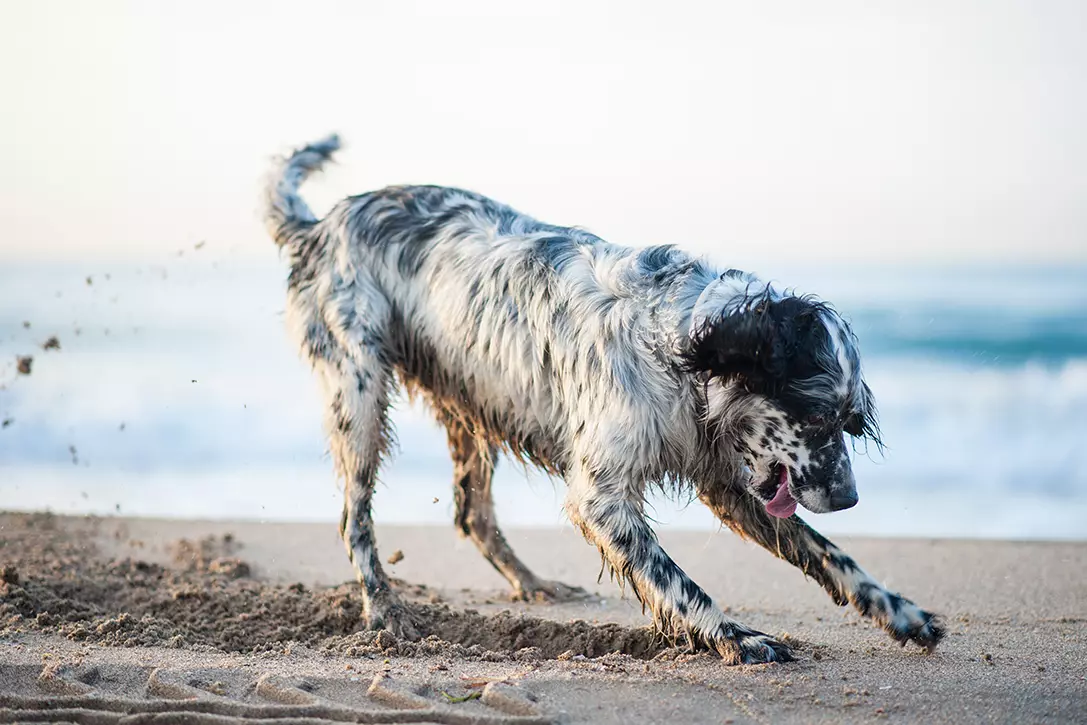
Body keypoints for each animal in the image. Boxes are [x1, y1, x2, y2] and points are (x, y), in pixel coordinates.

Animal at [260, 134, 943, 665]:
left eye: (850, 421)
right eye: (818, 414)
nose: (849, 497)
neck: (676, 342)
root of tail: (320, 226)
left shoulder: (727, 483)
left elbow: (827, 554)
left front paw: (901, 612)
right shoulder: (602, 494)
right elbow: (677, 580)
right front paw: (736, 637)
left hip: (472, 404)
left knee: (471, 514)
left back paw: (534, 584)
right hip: (360, 395)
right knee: (356, 518)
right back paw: (384, 611)